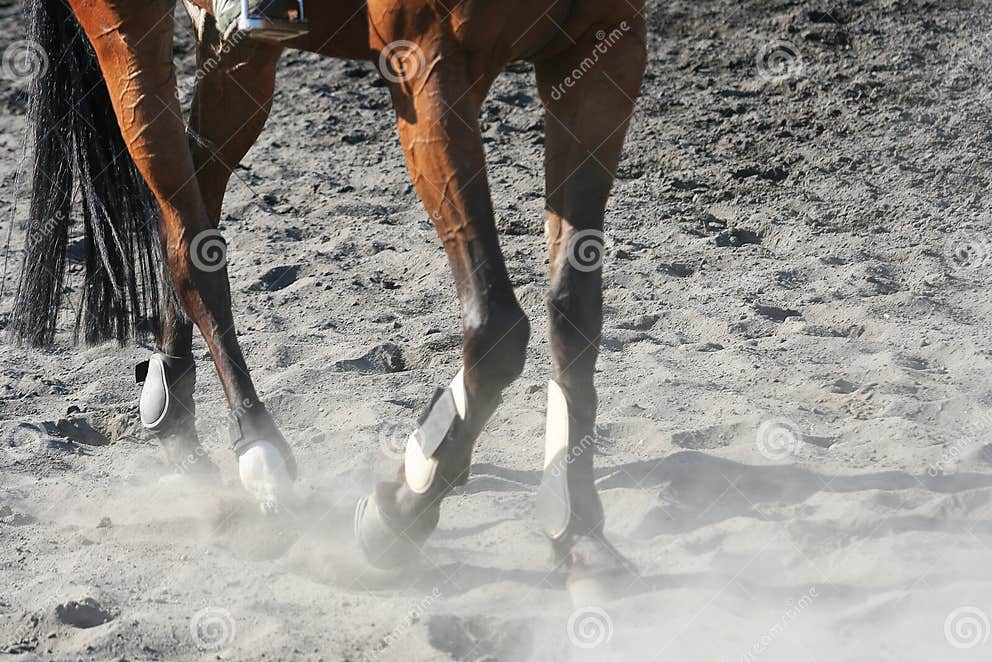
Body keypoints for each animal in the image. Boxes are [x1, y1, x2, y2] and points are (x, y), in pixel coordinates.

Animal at [12, 0, 646, 588]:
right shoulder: (431, 64)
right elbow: (497, 328)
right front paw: (400, 511)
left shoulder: (601, 53)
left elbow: (574, 309)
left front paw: (577, 525)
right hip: (126, 30)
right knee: (187, 237)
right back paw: (260, 452)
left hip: (241, 53)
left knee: (194, 197)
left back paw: (171, 404)